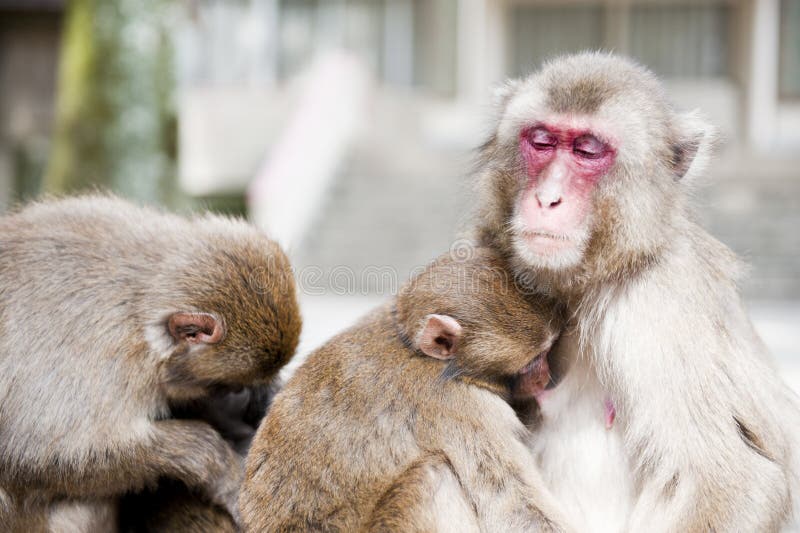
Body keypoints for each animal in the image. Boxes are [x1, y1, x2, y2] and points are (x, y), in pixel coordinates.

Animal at [0, 195, 302, 532]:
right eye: (222, 386)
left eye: (235, 387)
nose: (241, 398)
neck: (139, 304)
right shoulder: (106, 360)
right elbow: (38, 453)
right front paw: (216, 463)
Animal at [240, 247, 575, 532]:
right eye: (534, 360)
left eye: (549, 352)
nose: (545, 377)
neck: (417, 349)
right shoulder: (465, 408)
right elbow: (515, 507)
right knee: (433, 477)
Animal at [473, 51, 800, 532]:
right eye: (542, 142)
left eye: (588, 151)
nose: (547, 198)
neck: (586, 281)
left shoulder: (660, 301)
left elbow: (733, 481)